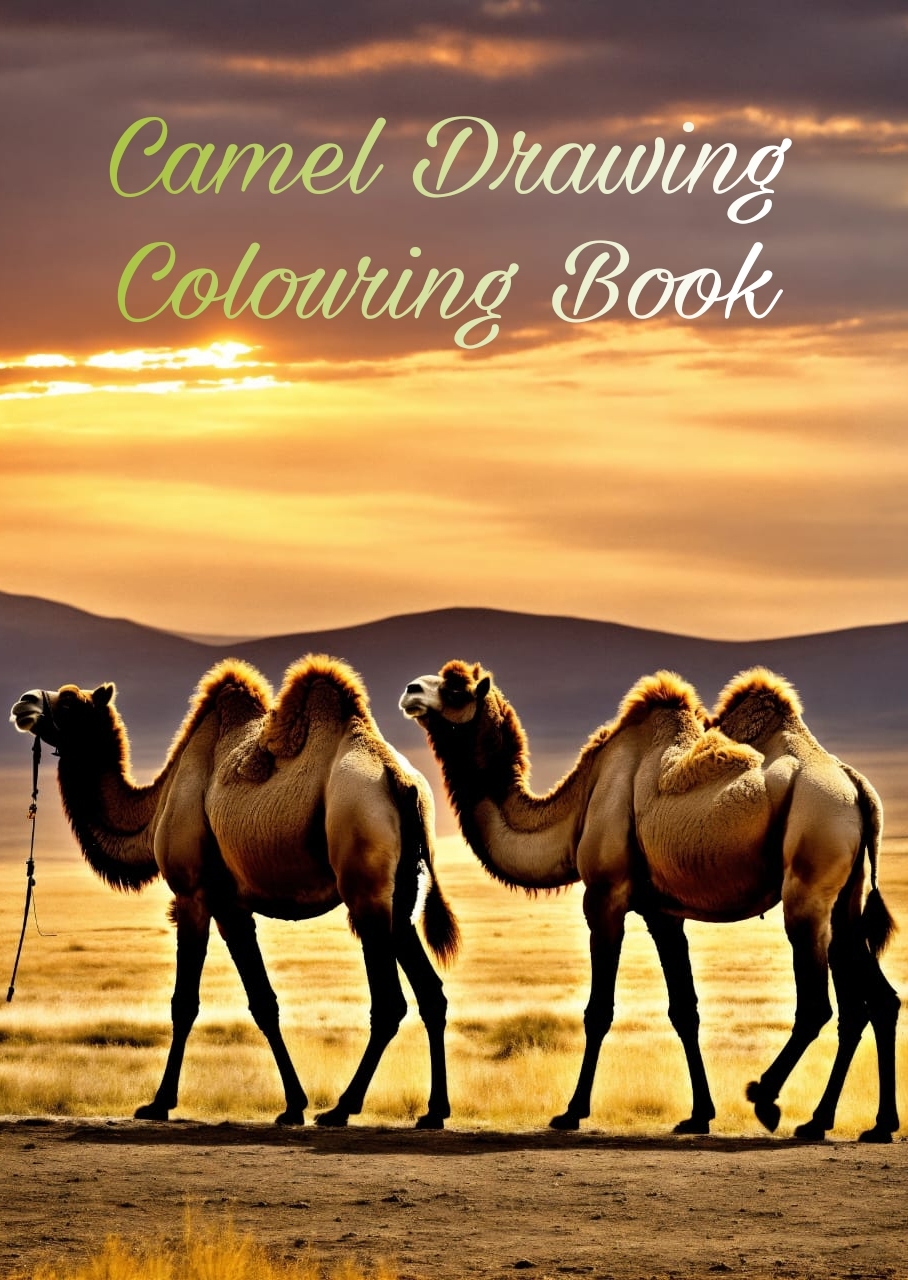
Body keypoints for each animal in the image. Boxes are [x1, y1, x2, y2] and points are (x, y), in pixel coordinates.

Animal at [11, 655, 459, 1128]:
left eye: (70, 701)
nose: (23, 702)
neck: (156, 805)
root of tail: (400, 780)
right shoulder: (232, 905)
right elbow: (264, 1002)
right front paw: (293, 1105)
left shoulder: (194, 893)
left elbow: (184, 1002)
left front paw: (159, 1103)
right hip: (401, 897)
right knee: (432, 994)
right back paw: (434, 1111)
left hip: (363, 880)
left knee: (390, 1002)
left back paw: (342, 1107)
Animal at [400, 661, 899, 1140]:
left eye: (456, 690)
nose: (409, 691)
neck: (580, 806)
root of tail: (858, 790)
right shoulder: (662, 911)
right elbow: (684, 1010)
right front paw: (698, 1116)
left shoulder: (605, 895)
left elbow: (599, 1010)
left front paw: (571, 1112)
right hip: (844, 900)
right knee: (875, 1002)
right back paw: (856, 1124)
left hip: (808, 877)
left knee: (818, 1004)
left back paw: (766, 1098)